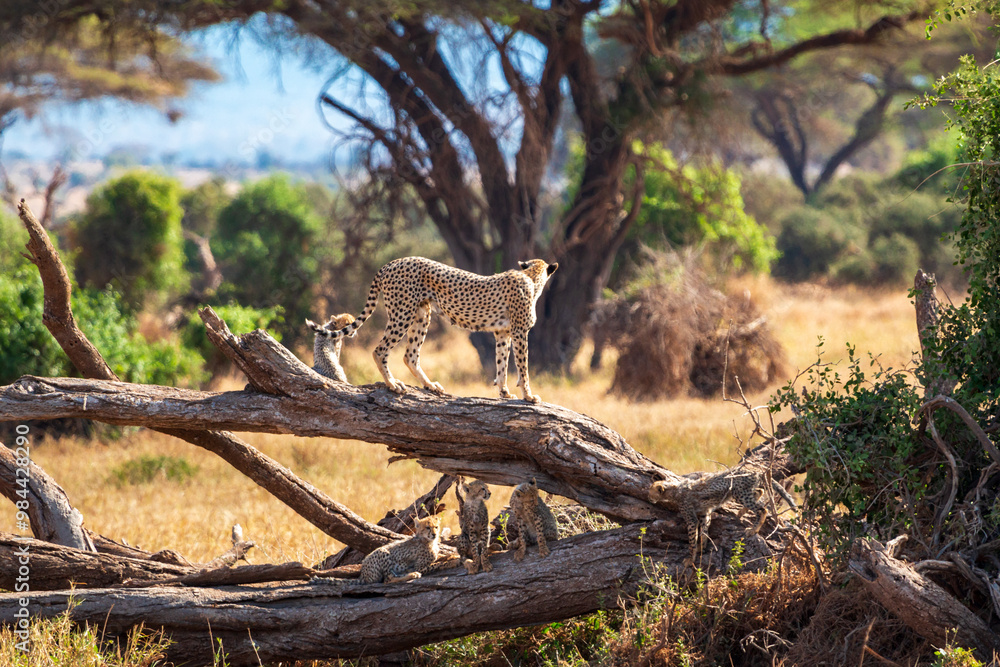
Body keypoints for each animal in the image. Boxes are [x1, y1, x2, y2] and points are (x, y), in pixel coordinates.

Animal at [306, 256, 558, 403]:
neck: (531, 278)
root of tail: (391, 262)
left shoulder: (503, 333)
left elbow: (501, 364)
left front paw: (504, 392)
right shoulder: (519, 332)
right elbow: (523, 367)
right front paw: (529, 396)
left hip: (421, 313)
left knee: (410, 355)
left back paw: (430, 385)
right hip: (403, 312)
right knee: (380, 350)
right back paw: (393, 384)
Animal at [648, 463, 797, 566]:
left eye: (651, 491)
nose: (648, 497)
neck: (674, 490)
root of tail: (753, 469)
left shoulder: (691, 518)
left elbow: (692, 539)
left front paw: (691, 558)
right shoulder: (705, 513)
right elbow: (704, 531)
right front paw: (702, 546)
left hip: (739, 493)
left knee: (761, 509)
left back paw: (753, 529)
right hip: (742, 492)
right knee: (760, 491)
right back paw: (742, 511)